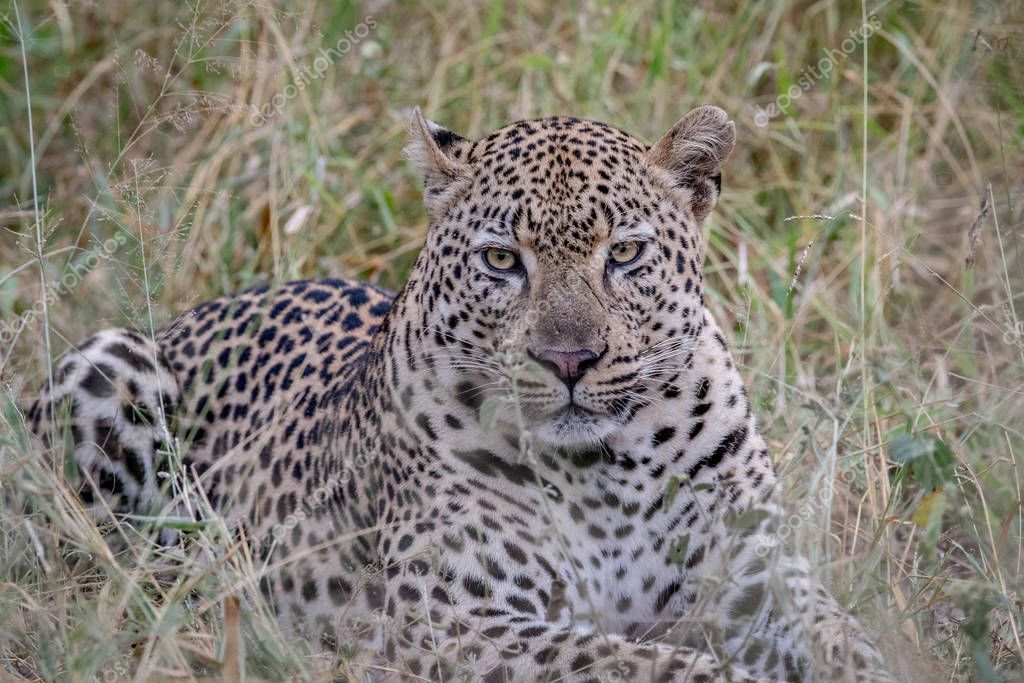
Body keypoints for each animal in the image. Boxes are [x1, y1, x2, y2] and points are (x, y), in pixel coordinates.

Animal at [28, 105, 894, 682]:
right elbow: (644, 662)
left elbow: (844, 638)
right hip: (110, 365)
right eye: (503, 260)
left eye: (625, 253)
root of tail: (195, 310)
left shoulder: (758, 581)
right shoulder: (452, 619)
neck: (610, 467)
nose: (570, 359)